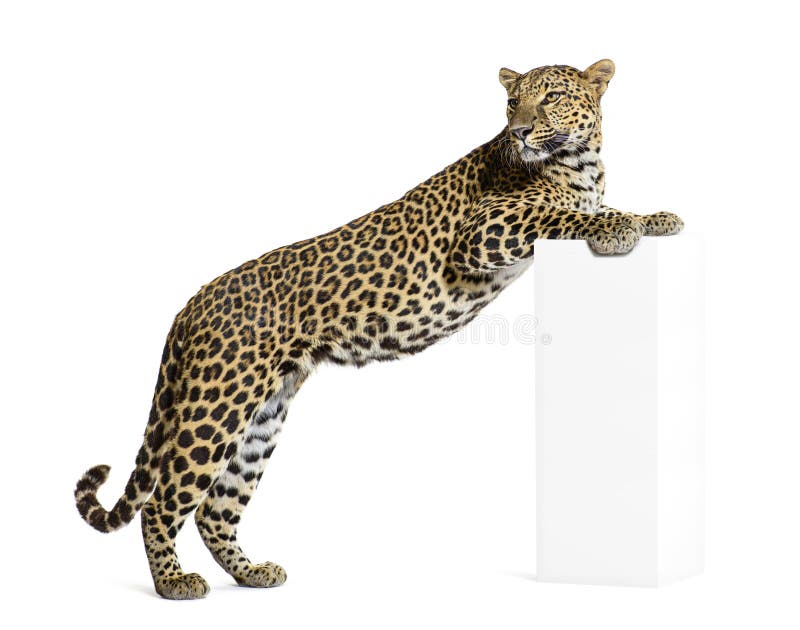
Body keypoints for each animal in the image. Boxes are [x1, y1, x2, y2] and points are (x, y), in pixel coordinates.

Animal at [75, 59, 684, 599]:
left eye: (551, 97)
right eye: (513, 102)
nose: (521, 130)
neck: (583, 161)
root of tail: (191, 303)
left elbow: (607, 208)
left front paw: (659, 217)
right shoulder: (485, 230)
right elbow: (564, 214)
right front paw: (618, 227)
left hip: (262, 416)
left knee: (215, 509)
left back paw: (252, 574)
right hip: (216, 406)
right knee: (163, 502)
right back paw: (173, 584)